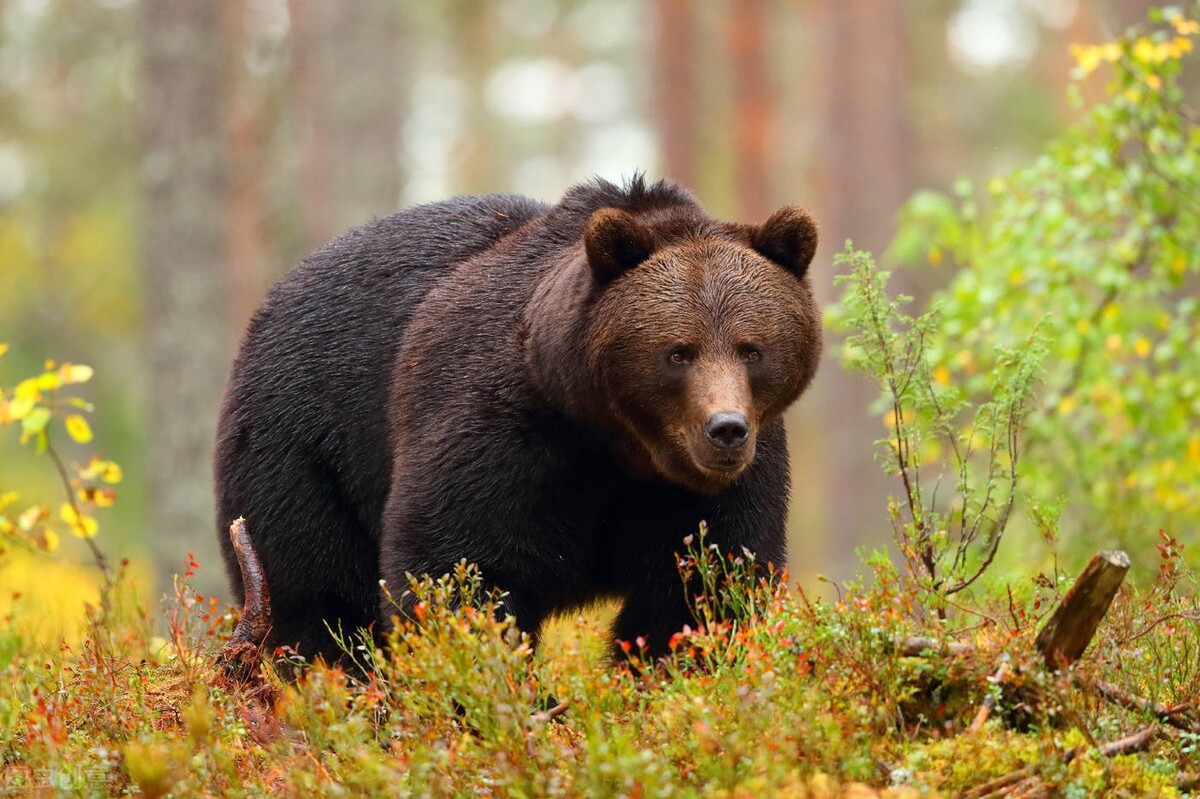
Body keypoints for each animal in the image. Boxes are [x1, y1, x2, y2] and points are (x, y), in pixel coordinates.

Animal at [214, 176, 822, 667]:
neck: (617, 440)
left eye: (752, 349)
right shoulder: (500, 426)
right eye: (679, 352)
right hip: (305, 441)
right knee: (314, 587)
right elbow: (462, 566)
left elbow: (703, 582)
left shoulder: (718, 480)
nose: (725, 428)